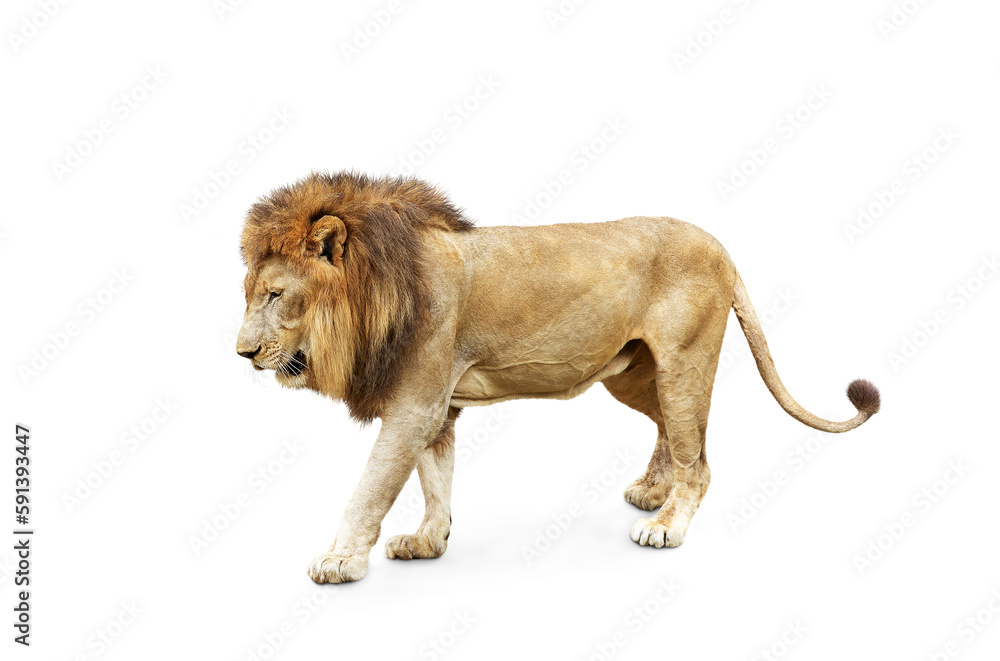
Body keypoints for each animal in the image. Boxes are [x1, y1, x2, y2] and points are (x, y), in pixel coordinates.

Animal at [236, 171, 880, 584]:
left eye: (276, 295)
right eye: (250, 293)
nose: (242, 352)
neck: (380, 289)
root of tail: (720, 246)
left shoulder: (414, 404)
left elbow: (370, 488)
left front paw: (339, 561)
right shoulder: (437, 408)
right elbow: (435, 479)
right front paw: (429, 542)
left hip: (684, 361)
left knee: (698, 458)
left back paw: (667, 525)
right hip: (636, 374)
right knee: (676, 435)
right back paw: (653, 493)